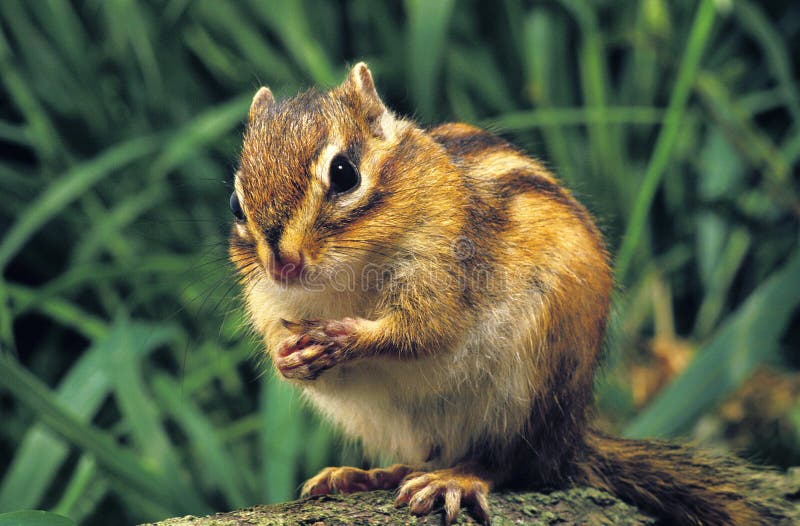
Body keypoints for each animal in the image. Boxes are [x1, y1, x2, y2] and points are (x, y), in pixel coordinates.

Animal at [229, 63, 790, 525]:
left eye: (344, 173)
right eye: (236, 203)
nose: (282, 264)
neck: (343, 280)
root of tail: (570, 438)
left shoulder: (448, 266)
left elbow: (423, 331)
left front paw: (345, 337)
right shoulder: (272, 303)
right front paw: (287, 359)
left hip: (530, 388)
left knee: (513, 465)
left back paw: (456, 478)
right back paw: (367, 475)